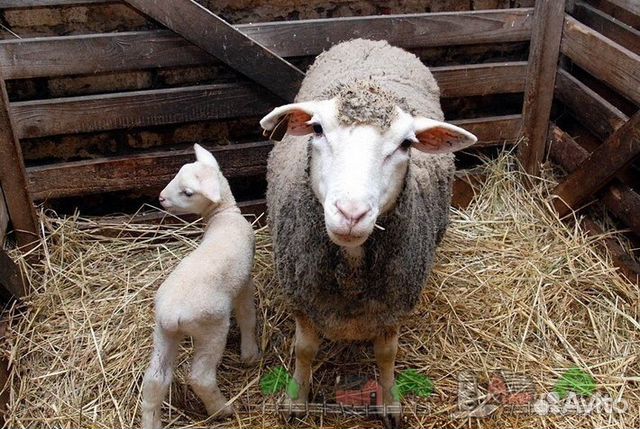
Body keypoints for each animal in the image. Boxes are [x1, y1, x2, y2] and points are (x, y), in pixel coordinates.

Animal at [141, 144, 260, 429]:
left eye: (187, 192)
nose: (161, 198)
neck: (224, 216)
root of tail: (172, 316)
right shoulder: (245, 280)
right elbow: (247, 315)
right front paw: (250, 354)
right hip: (211, 328)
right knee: (200, 377)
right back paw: (222, 410)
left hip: (163, 332)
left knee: (155, 379)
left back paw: (150, 421)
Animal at [260, 39, 477, 427]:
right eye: (317, 130)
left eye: (406, 144)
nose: (351, 213)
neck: (351, 270)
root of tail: (372, 41)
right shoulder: (302, 298)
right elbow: (304, 350)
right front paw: (296, 400)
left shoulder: (393, 307)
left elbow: (387, 354)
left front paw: (390, 403)